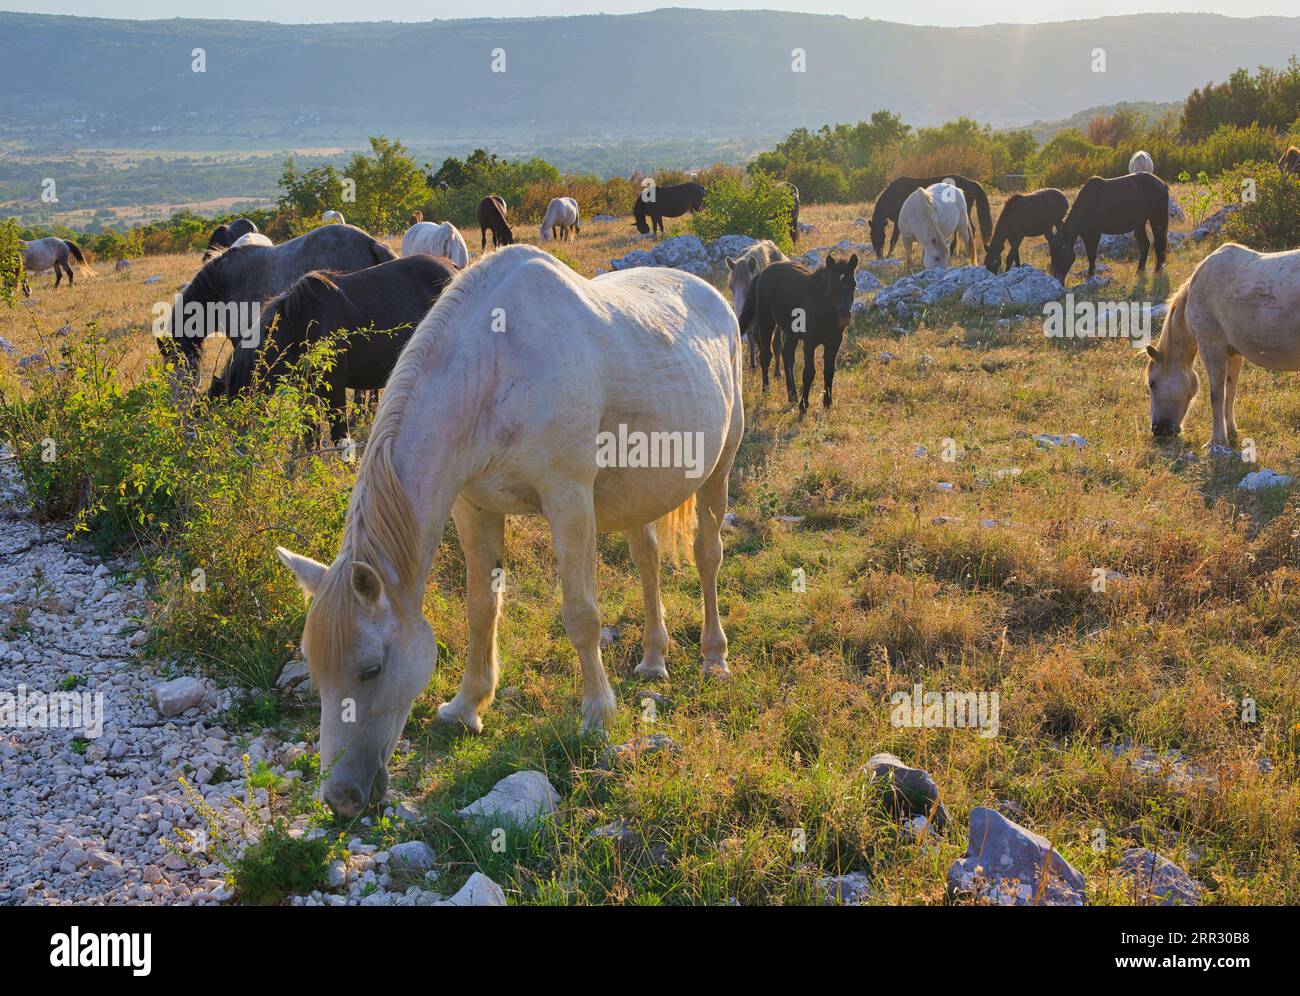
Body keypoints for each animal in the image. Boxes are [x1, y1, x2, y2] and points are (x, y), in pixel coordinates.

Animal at [274, 244, 743, 817]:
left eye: (370, 669)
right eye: (315, 670)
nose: (341, 799)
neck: (495, 367)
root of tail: (713, 295)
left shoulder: (569, 499)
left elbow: (581, 616)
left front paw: (597, 714)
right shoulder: (473, 508)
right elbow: (482, 609)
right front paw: (467, 705)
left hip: (720, 467)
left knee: (707, 555)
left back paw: (714, 658)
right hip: (642, 492)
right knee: (648, 560)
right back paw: (654, 660)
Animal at [739, 253, 857, 415]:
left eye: (854, 284)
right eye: (833, 285)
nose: (845, 315)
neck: (823, 306)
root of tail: (762, 273)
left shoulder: (834, 342)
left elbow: (829, 371)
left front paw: (827, 403)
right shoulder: (809, 342)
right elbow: (809, 372)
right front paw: (804, 405)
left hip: (791, 332)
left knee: (787, 355)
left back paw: (792, 395)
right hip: (766, 320)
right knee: (766, 356)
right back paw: (766, 391)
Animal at [1145, 243, 1300, 447]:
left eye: (1152, 383)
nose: (1157, 430)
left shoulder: (1211, 348)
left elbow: (1216, 394)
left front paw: (1216, 441)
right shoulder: (1233, 353)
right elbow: (1231, 390)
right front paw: (1231, 431)